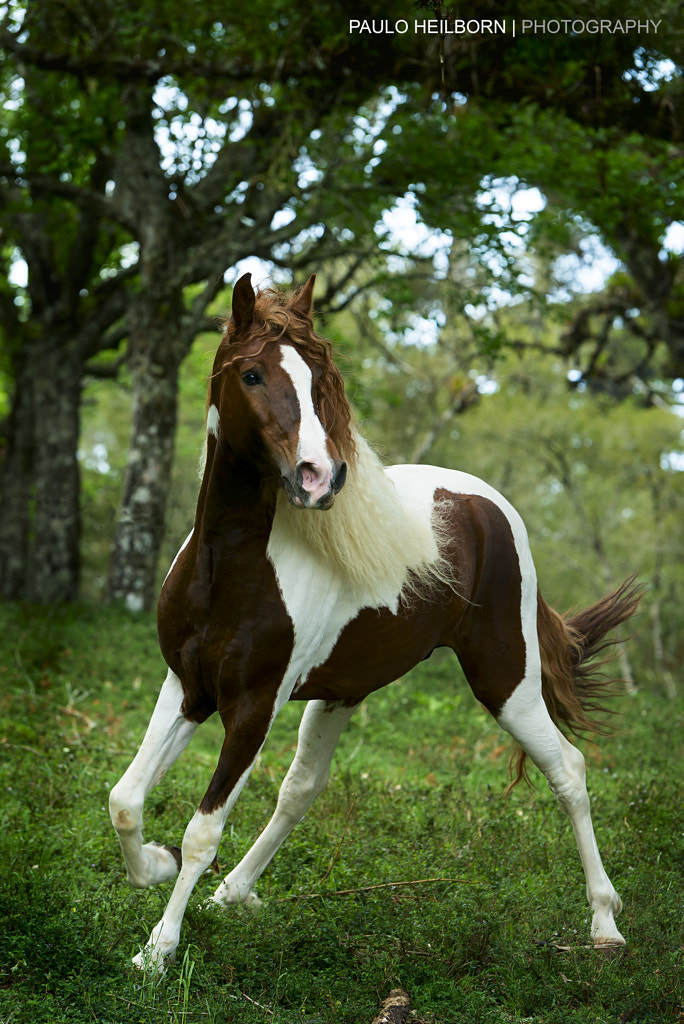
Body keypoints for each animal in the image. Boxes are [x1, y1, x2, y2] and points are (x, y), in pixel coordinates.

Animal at [109, 271, 641, 971]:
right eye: (251, 374)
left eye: (318, 380)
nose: (319, 477)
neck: (228, 570)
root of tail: (490, 505)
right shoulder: (188, 688)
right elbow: (125, 800)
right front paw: (157, 866)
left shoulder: (253, 707)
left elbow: (203, 829)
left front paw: (157, 950)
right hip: (342, 689)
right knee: (303, 787)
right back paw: (233, 894)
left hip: (507, 680)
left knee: (570, 772)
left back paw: (605, 924)